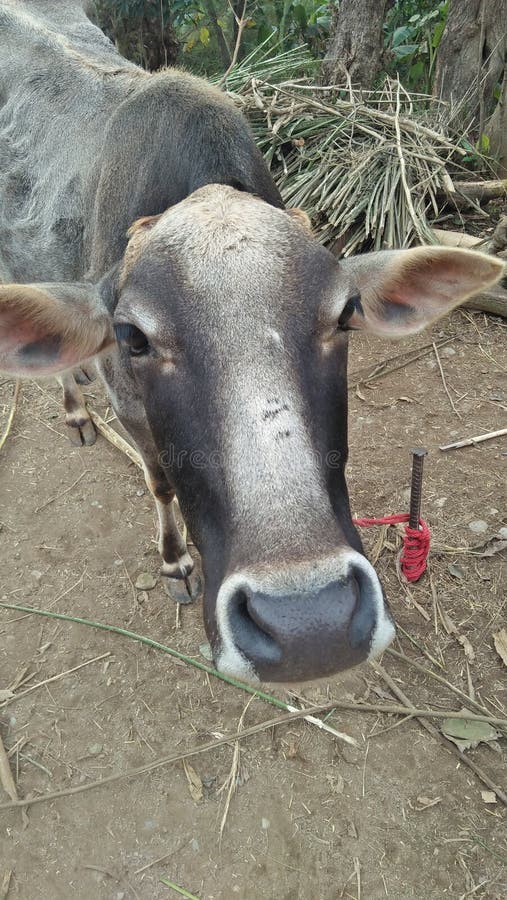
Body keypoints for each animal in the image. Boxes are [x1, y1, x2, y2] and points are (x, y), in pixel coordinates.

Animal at [0, 1, 503, 683]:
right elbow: (160, 483)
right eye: (133, 337)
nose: (309, 624)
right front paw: (175, 561)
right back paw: (76, 409)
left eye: (345, 314)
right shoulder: (131, 407)